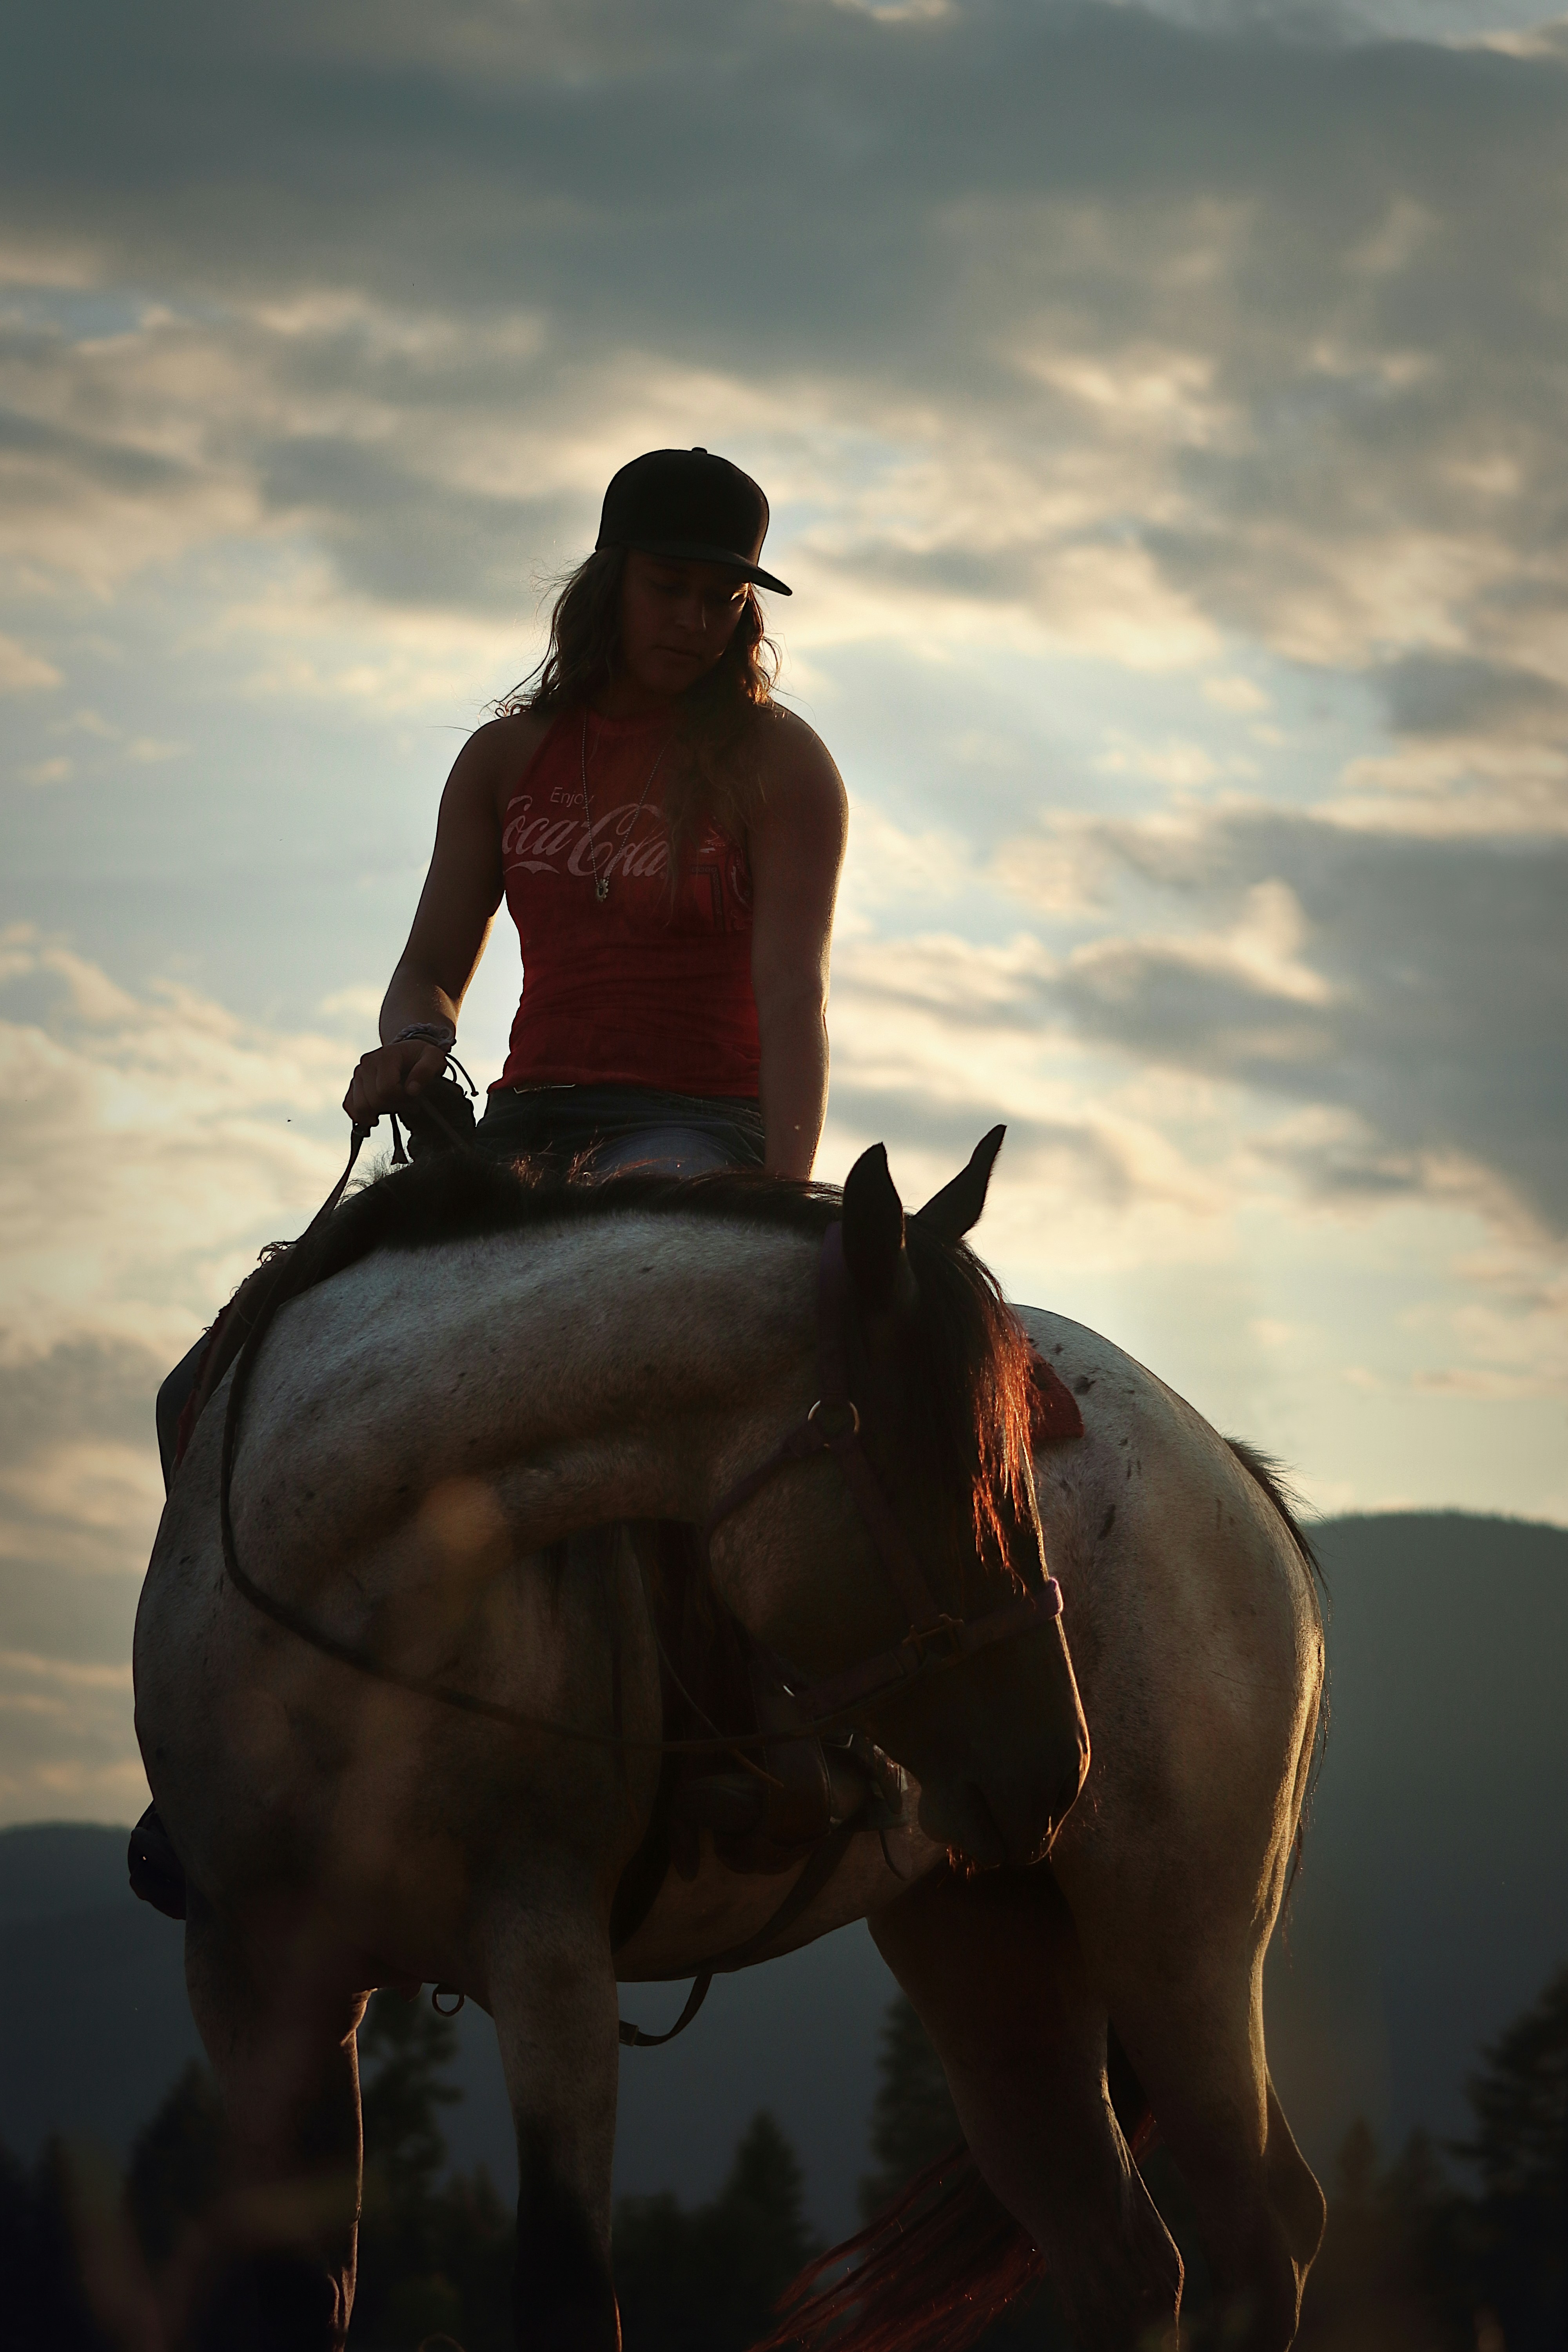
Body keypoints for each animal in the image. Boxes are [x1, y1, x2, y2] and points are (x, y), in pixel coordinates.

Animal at [132, 1136, 1326, 2352]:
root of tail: (1232, 1472)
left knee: (1265, 2233)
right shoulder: (251, 1972)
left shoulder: (547, 1954)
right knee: (1122, 2261)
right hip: (992, 1954)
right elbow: (302, 2295)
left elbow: (566, 2292)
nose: (1057, 1765)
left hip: (1181, 1944)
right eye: (945, 1469)